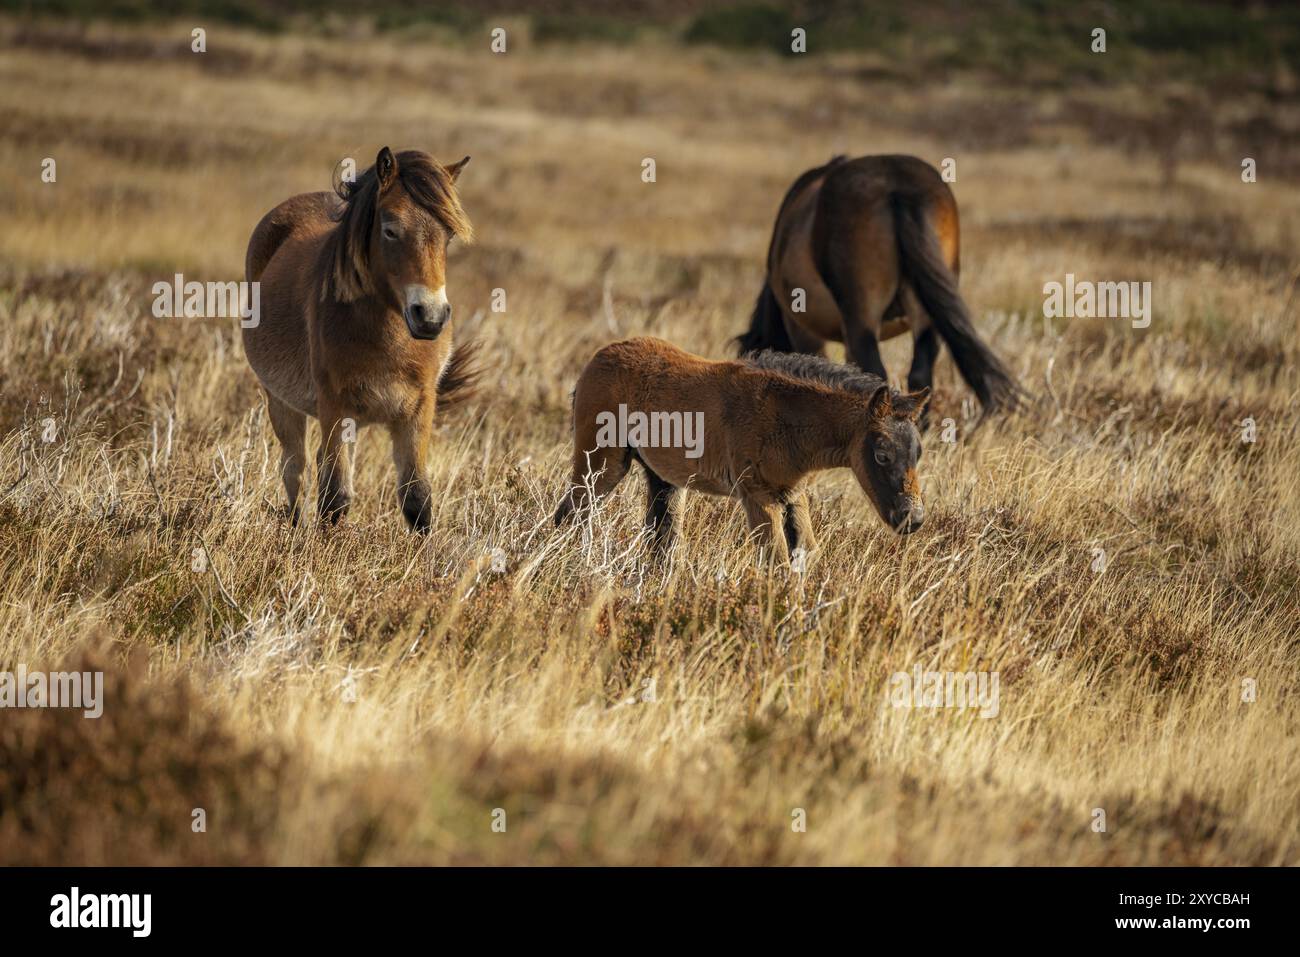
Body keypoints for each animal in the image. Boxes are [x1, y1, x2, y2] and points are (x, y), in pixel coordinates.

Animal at [242, 147, 479, 531]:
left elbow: (417, 499)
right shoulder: (335, 406)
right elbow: (334, 498)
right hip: (282, 401)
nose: (429, 317)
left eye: (448, 236)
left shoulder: (419, 408)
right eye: (390, 230)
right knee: (295, 468)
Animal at [553, 337, 930, 563]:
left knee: (663, 541)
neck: (783, 415)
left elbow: (807, 553)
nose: (913, 519)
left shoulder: (794, 496)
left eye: (918, 453)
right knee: (571, 513)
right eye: (881, 454)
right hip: (601, 463)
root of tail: (597, 358)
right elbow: (776, 559)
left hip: (664, 480)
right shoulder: (758, 497)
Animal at [736, 154, 1024, 419]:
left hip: (860, 315)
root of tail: (897, 185)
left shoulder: (802, 327)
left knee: (875, 372)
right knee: (920, 372)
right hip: (924, 316)